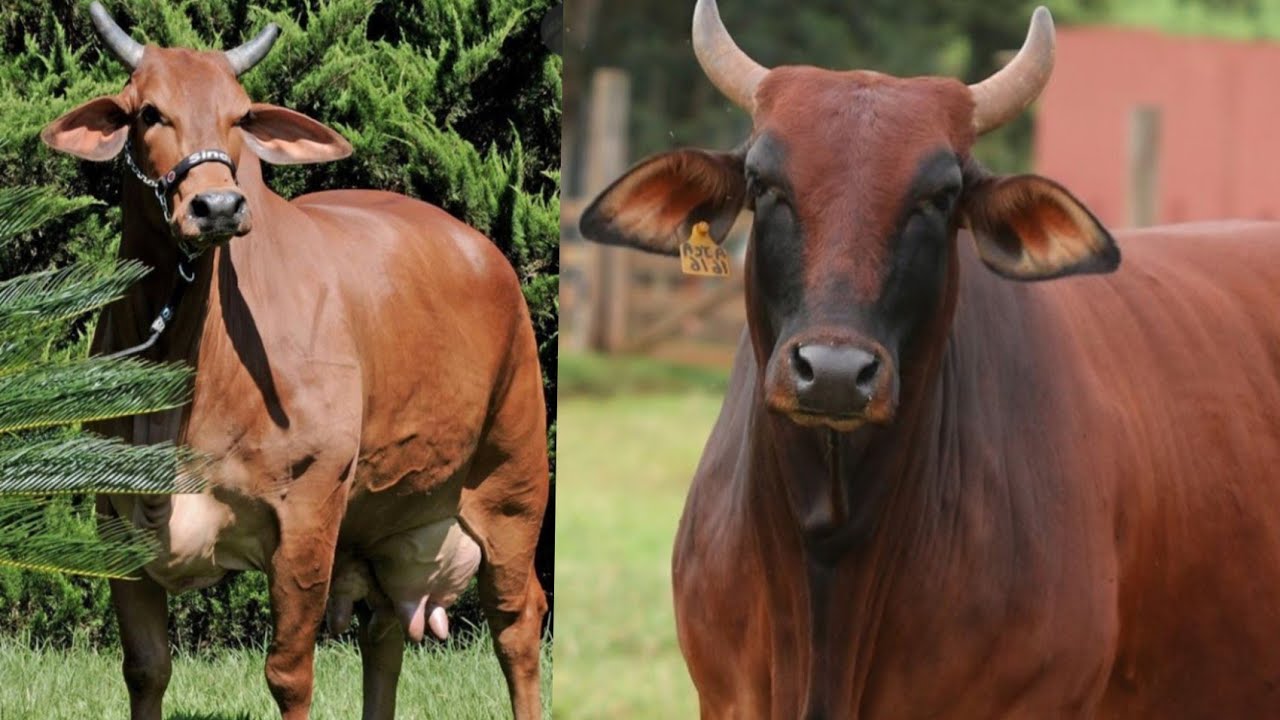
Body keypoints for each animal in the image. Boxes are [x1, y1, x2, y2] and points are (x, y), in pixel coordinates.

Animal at [40, 4, 548, 719]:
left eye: (241, 116)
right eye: (149, 113)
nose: (218, 206)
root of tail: (487, 253)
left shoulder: (307, 510)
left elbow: (288, 674)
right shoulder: (115, 522)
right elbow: (145, 668)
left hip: (513, 485)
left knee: (516, 624)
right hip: (381, 518)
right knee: (383, 634)